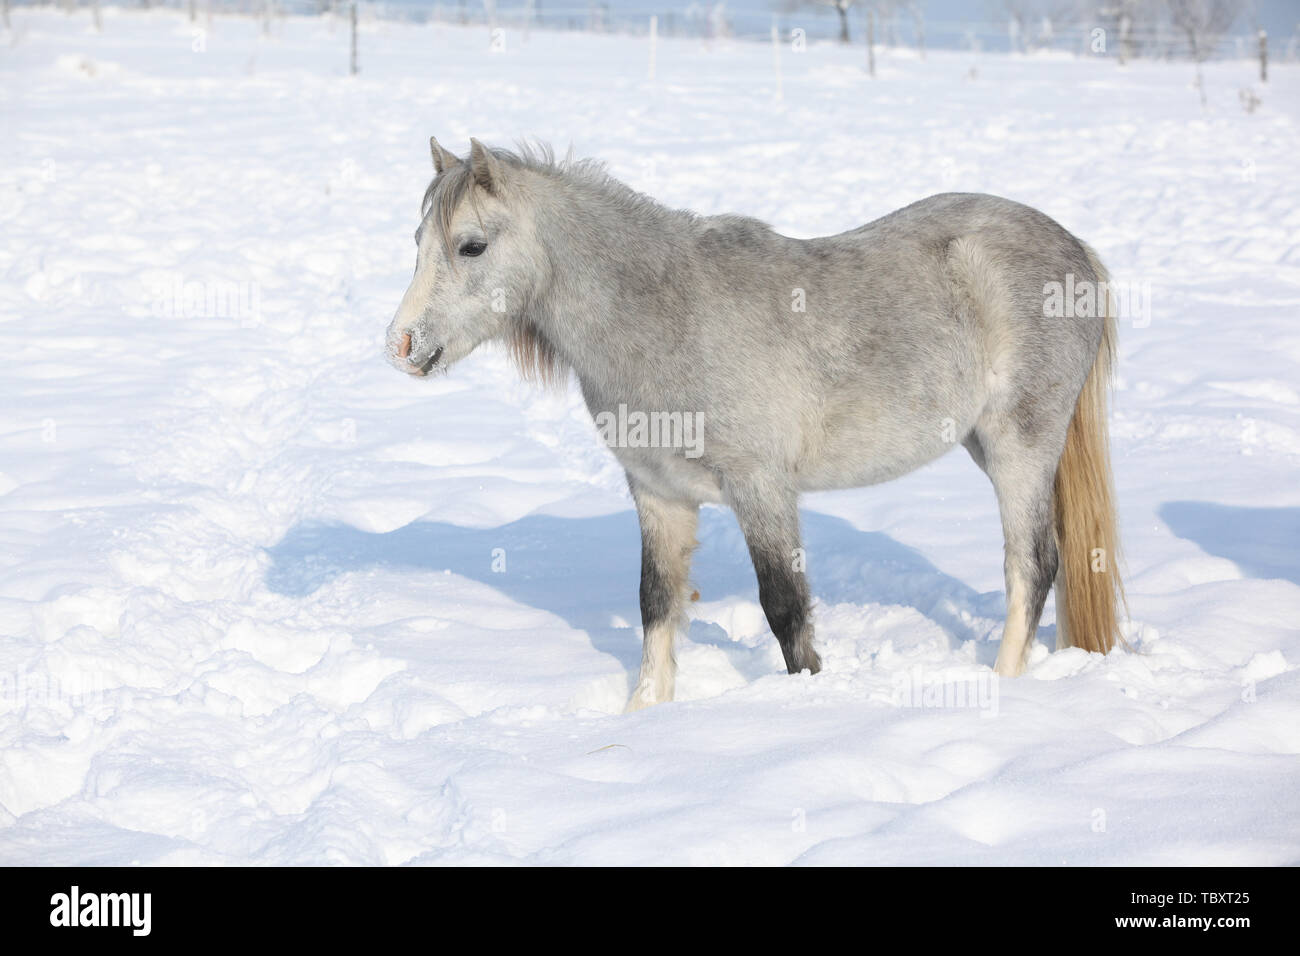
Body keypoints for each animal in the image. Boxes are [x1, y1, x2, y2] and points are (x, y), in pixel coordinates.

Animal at [386, 137, 1125, 711]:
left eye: (471, 246)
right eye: (417, 242)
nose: (400, 344)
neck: (666, 316)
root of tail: (1077, 251)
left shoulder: (761, 488)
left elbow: (785, 608)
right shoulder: (658, 494)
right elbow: (657, 604)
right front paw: (643, 714)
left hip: (1018, 445)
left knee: (1032, 564)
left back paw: (1004, 684)